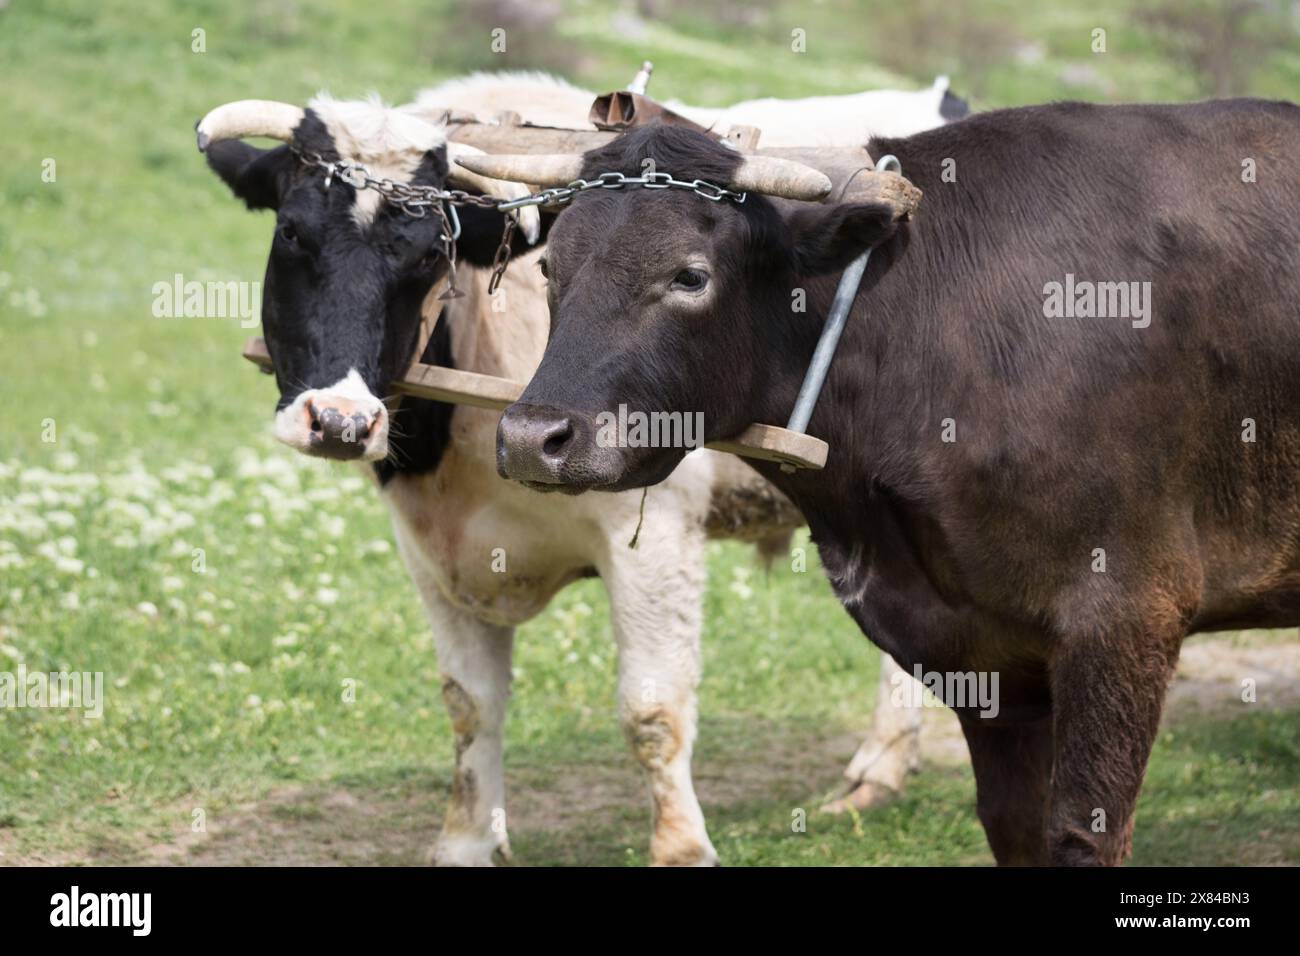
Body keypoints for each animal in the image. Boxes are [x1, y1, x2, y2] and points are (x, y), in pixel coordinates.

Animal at [194, 72, 964, 865]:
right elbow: (469, 703)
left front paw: (682, 848)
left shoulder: (653, 538)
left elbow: (652, 711)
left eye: (428, 255)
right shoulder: (428, 551)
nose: (341, 420)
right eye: (291, 232)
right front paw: (466, 840)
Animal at [479, 98, 1300, 865]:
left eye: (689, 275)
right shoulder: (981, 653)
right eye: (549, 268)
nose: (532, 439)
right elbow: (1013, 826)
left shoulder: (1127, 610)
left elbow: (1079, 835)